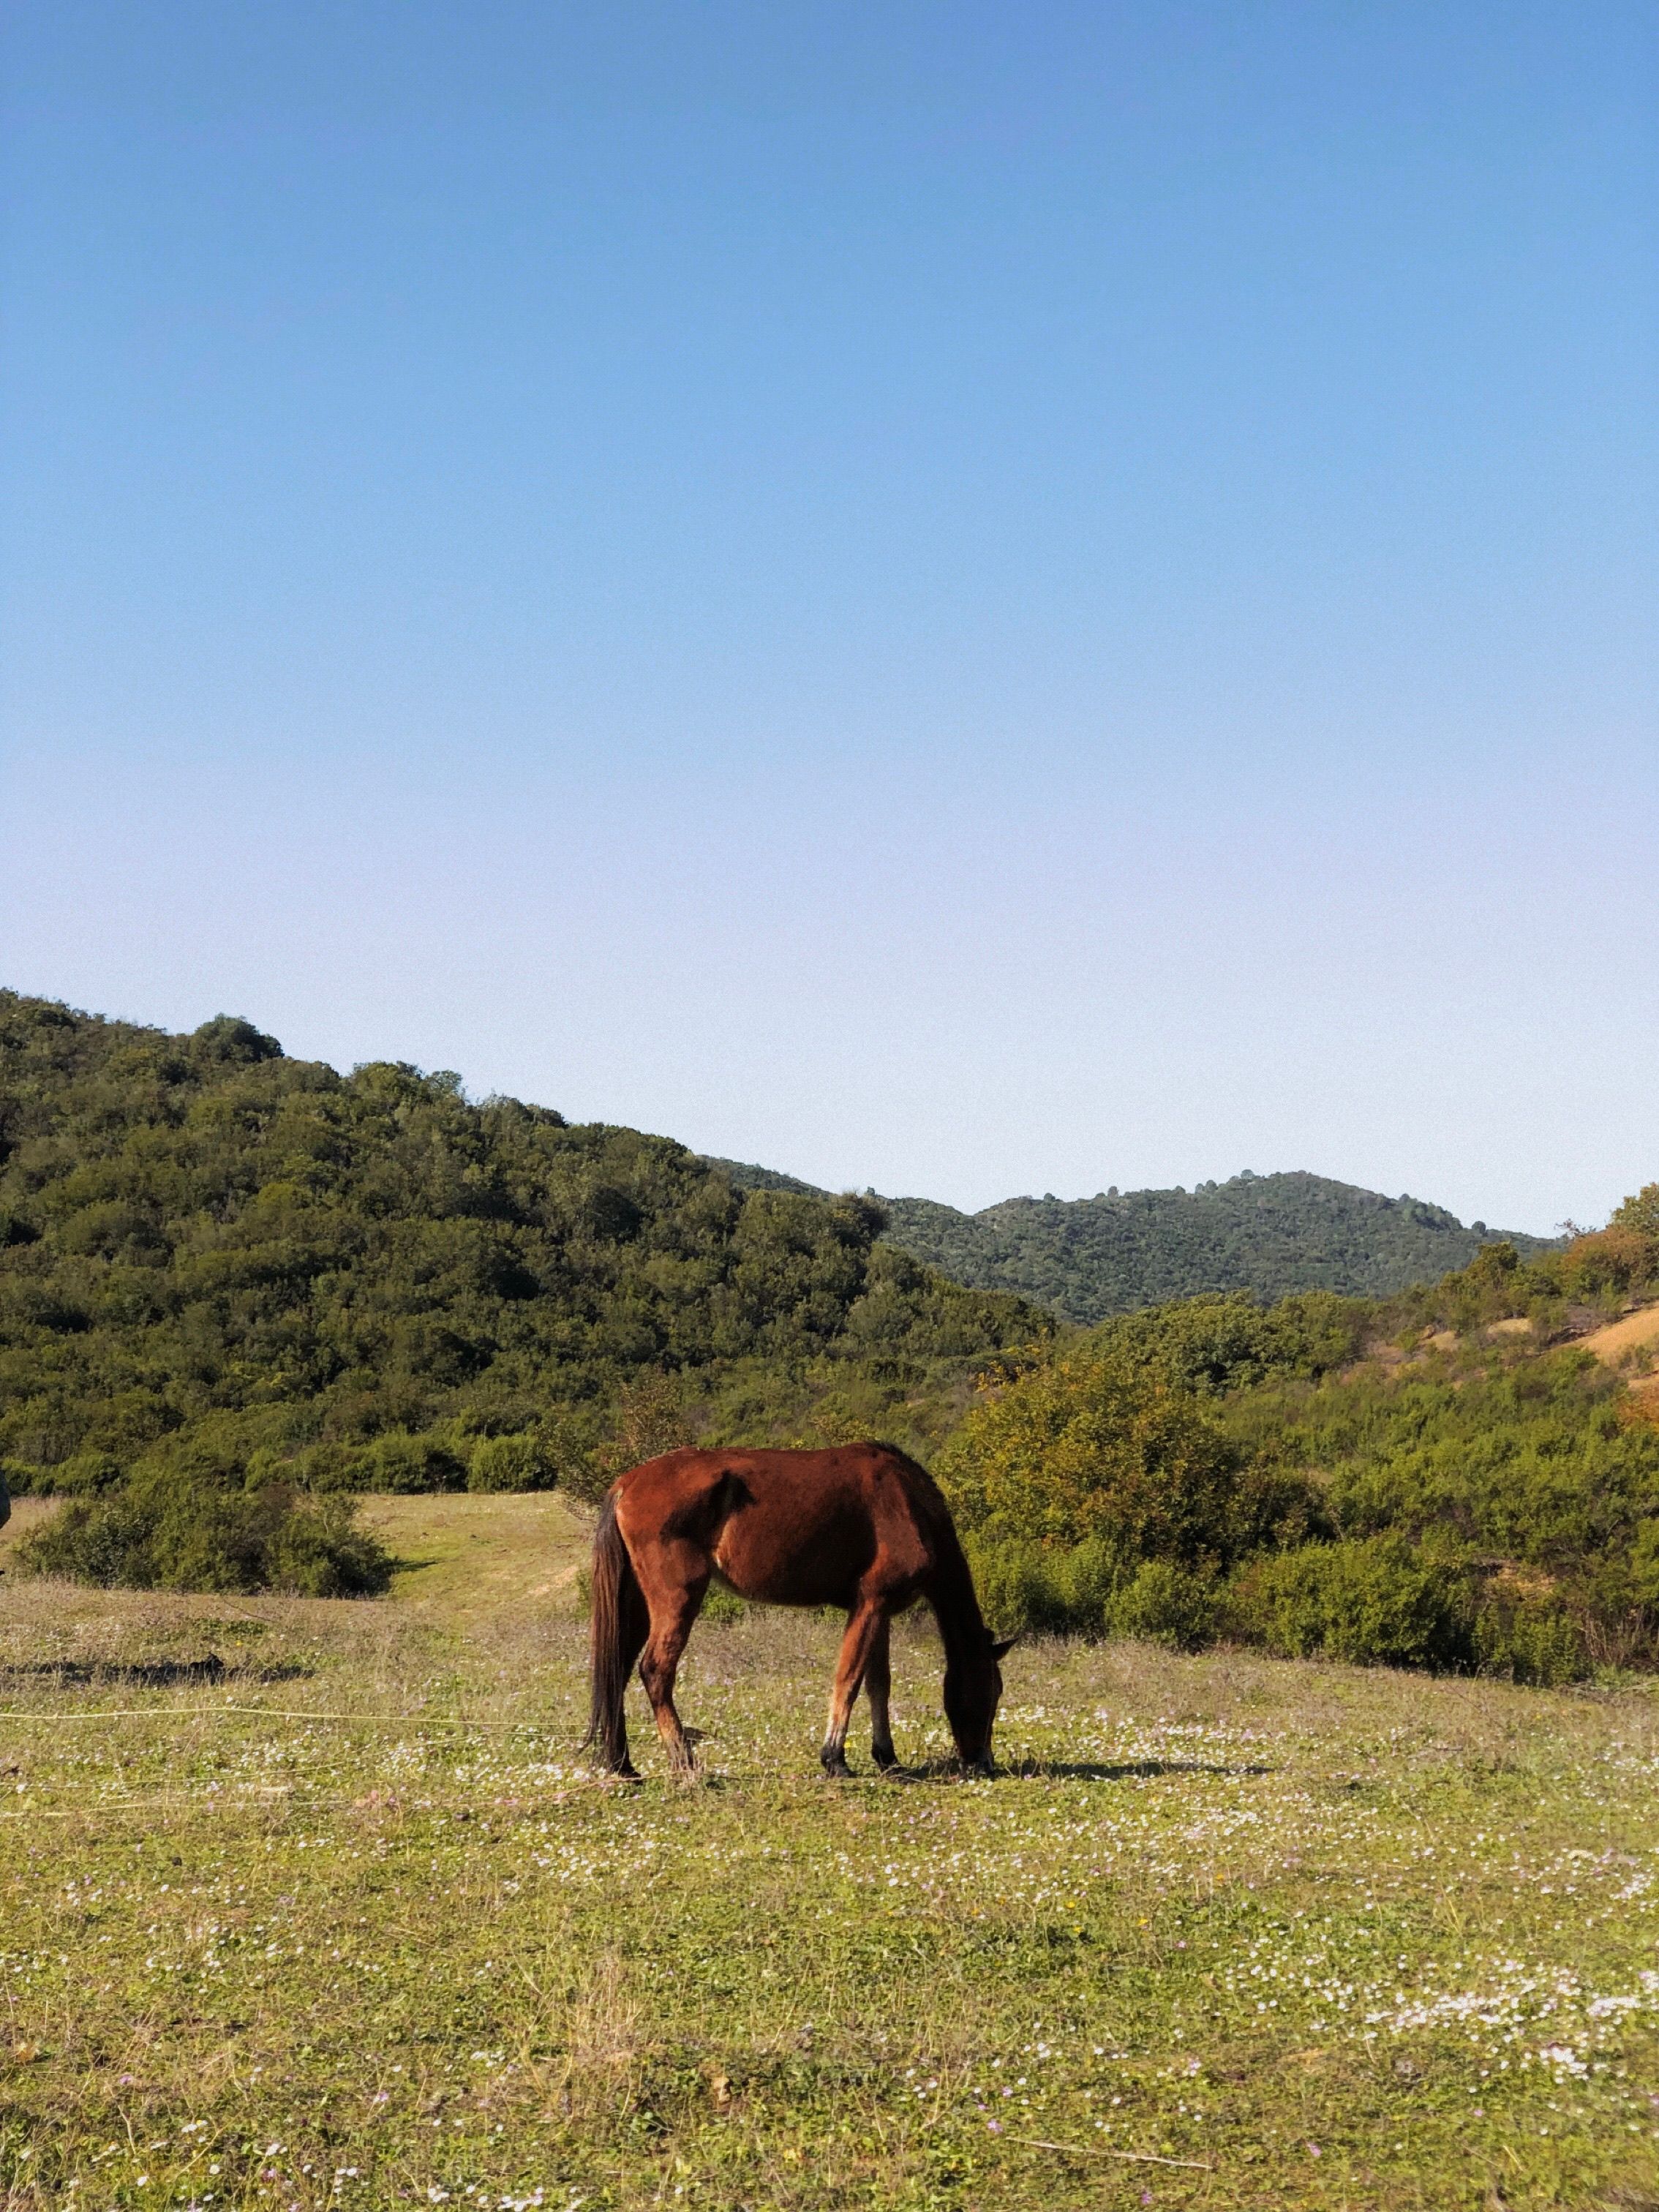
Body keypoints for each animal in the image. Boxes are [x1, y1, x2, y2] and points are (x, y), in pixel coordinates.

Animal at [585, 1442, 1015, 1780]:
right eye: (991, 1690)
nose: (984, 1763)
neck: (908, 1503)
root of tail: (627, 1484)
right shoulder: (870, 1604)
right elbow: (849, 1678)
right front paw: (835, 1758)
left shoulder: (880, 1612)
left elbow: (879, 1684)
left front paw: (888, 1759)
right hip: (677, 1600)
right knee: (655, 1671)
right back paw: (684, 1762)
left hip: (636, 1604)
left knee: (618, 1670)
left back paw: (623, 1766)